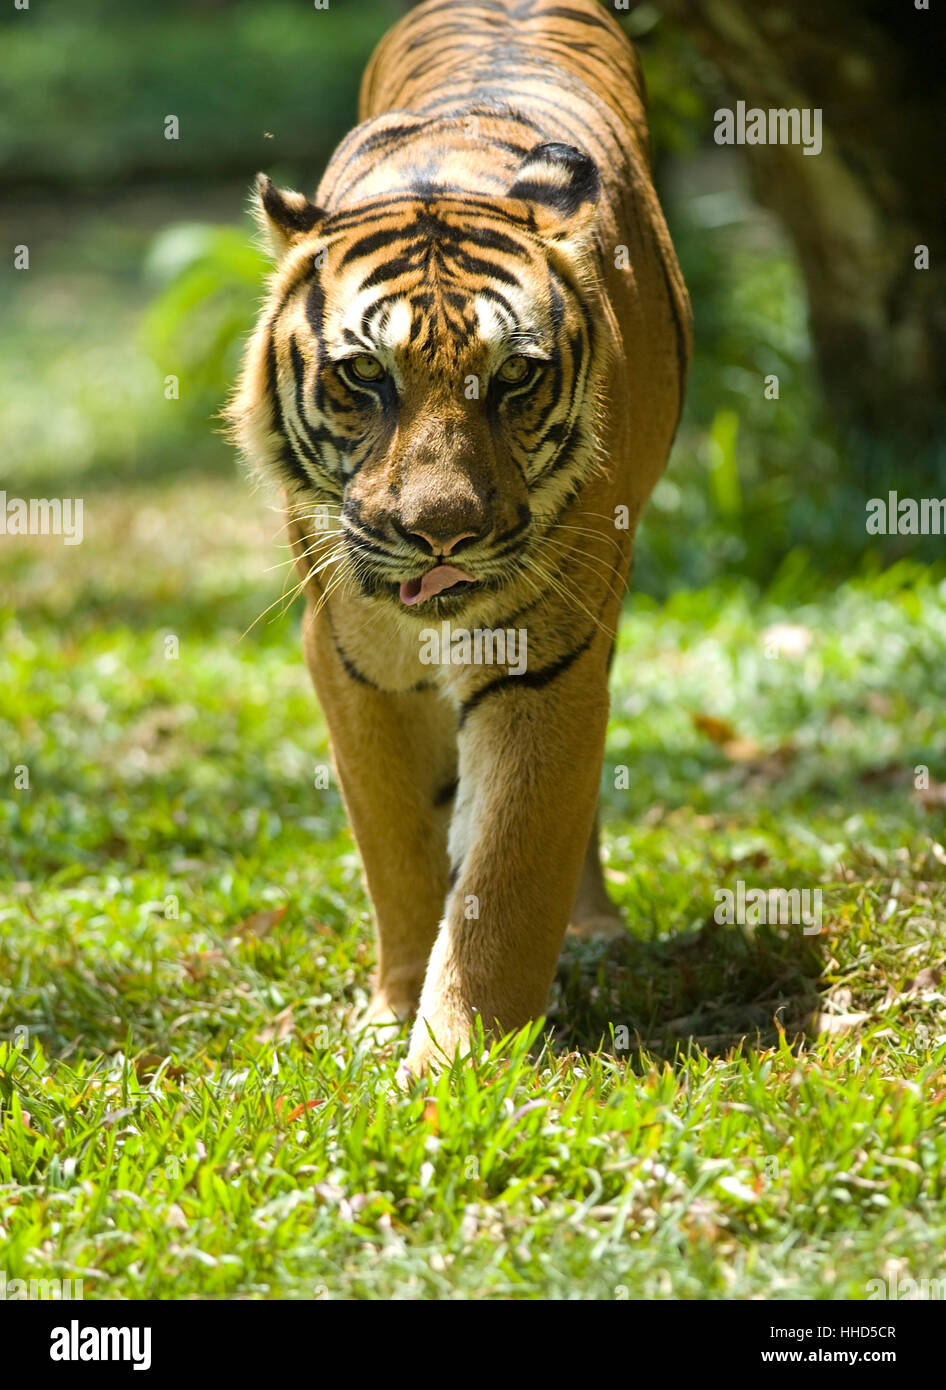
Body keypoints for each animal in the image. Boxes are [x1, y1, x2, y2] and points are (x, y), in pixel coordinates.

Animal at [228, 0, 690, 1074]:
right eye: (365, 376)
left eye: (513, 378)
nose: (441, 535)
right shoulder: (354, 656)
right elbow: (399, 847)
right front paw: (396, 1014)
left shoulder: (547, 659)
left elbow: (508, 872)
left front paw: (459, 1058)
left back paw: (595, 929)